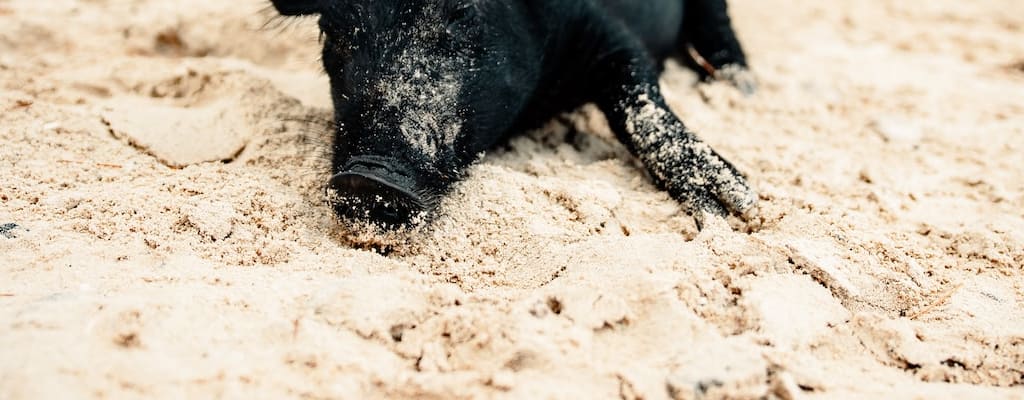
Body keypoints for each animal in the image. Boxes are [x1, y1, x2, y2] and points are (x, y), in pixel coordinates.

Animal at [270, 0, 757, 228]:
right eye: (331, 34)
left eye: (462, 16)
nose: (368, 176)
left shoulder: (604, 30)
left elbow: (638, 99)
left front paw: (733, 207)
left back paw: (740, 87)